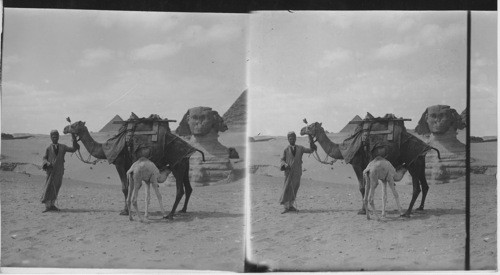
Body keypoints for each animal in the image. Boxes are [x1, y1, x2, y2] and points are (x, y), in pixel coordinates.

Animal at [63, 121, 203, 220]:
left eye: (74, 124)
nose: (64, 128)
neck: (107, 148)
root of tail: (190, 148)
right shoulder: (127, 167)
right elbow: (128, 188)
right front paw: (128, 210)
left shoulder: (119, 163)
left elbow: (124, 188)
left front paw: (124, 211)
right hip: (184, 165)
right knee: (189, 188)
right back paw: (183, 210)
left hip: (176, 165)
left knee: (180, 190)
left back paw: (170, 215)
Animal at [298, 122, 440, 219]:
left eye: (310, 126)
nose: (300, 130)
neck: (344, 148)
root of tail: (426, 146)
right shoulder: (364, 166)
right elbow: (365, 186)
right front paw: (366, 209)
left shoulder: (356, 164)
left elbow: (361, 187)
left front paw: (362, 210)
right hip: (420, 163)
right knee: (425, 185)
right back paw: (420, 208)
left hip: (413, 164)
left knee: (416, 188)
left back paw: (407, 212)